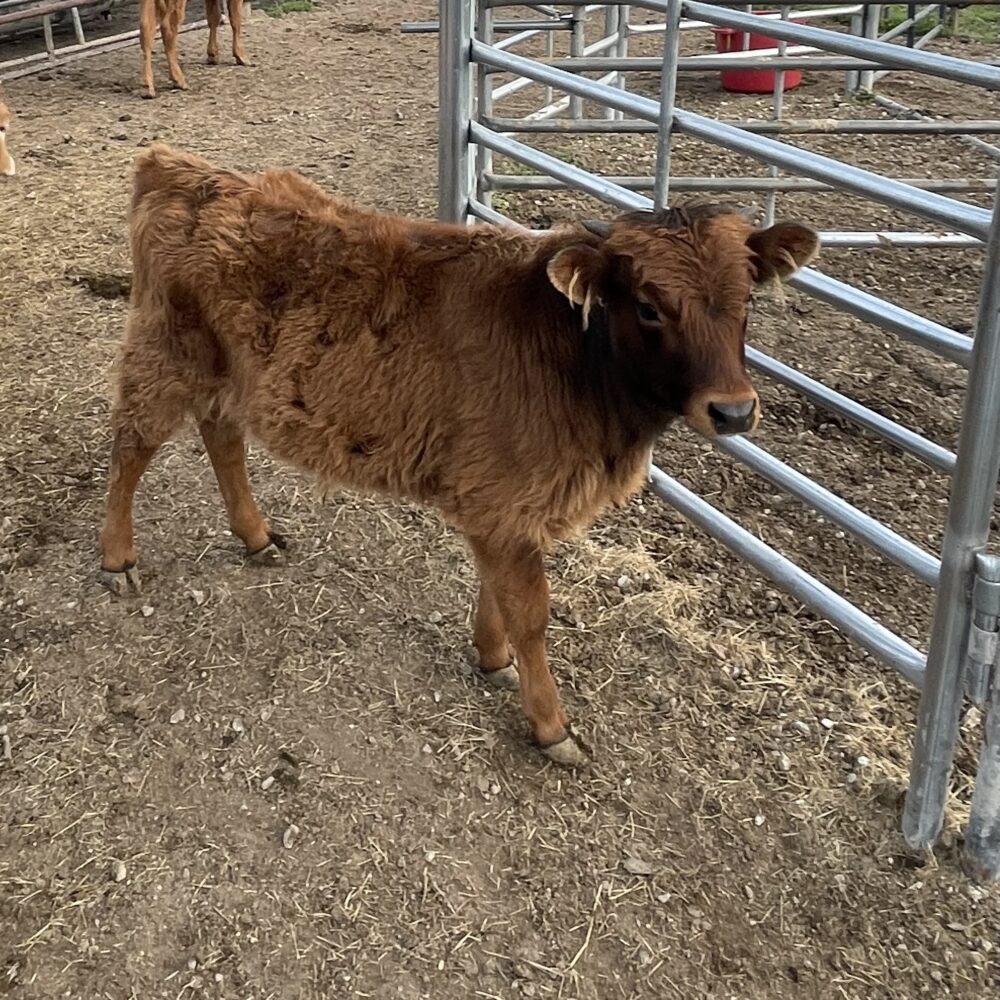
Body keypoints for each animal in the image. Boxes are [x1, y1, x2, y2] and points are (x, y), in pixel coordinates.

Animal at [99, 144, 819, 765]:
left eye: (748, 298)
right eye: (647, 306)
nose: (733, 410)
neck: (572, 360)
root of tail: (181, 167)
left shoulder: (501, 504)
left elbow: (499, 593)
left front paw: (491, 656)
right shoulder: (504, 501)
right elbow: (531, 613)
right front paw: (550, 724)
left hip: (225, 375)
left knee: (221, 437)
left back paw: (254, 536)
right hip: (164, 356)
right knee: (130, 447)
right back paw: (118, 558)